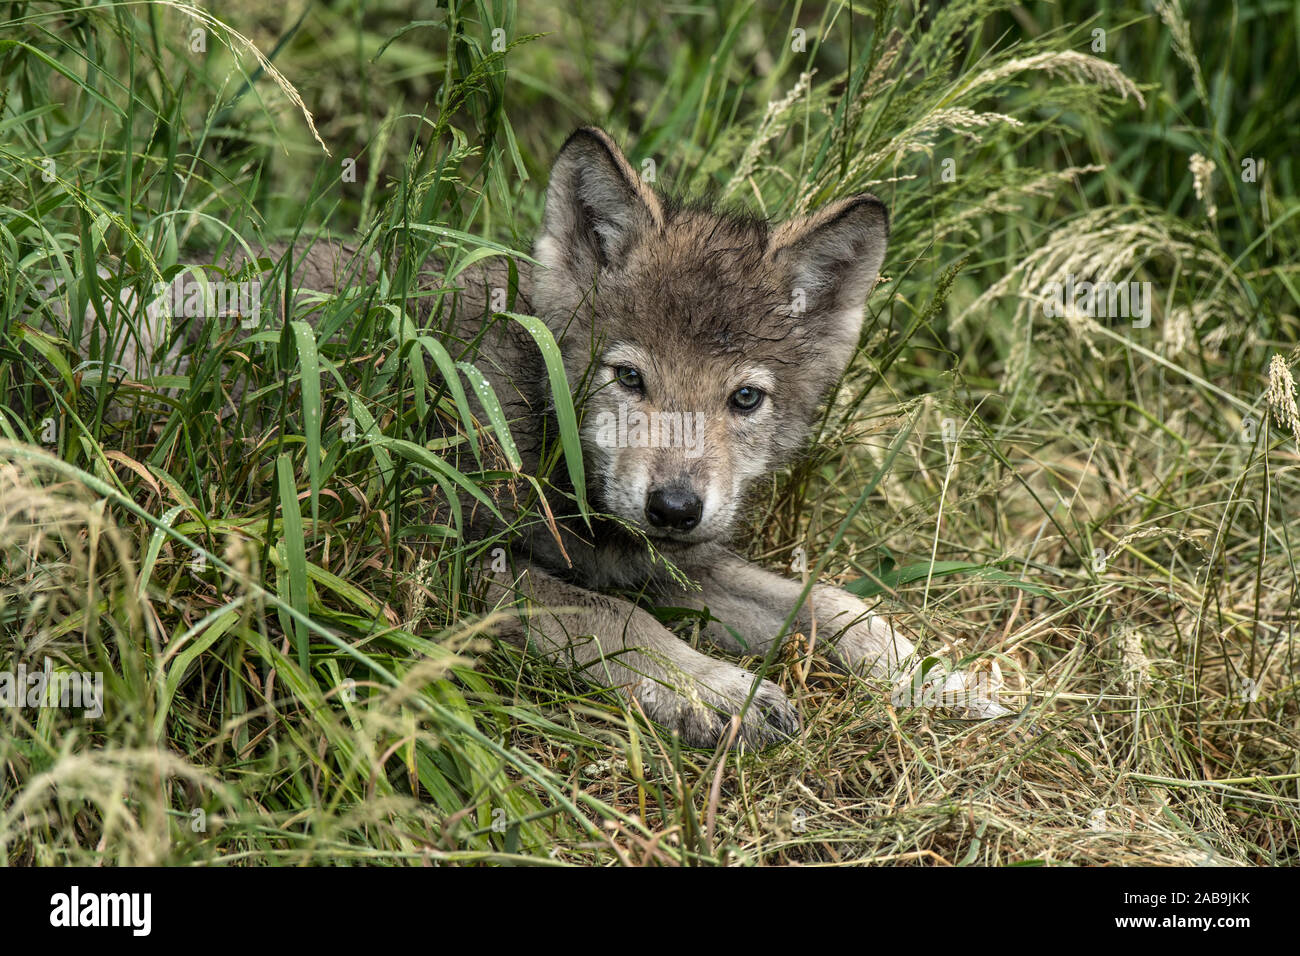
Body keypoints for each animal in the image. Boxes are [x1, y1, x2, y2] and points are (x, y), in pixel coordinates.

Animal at [32, 126, 1007, 748]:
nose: (675, 505)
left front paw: (941, 677)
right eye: (629, 377)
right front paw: (714, 690)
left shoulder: (666, 563)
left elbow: (835, 605)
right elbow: (612, 619)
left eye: (745, 398)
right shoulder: (455, 567)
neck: (541, 423)